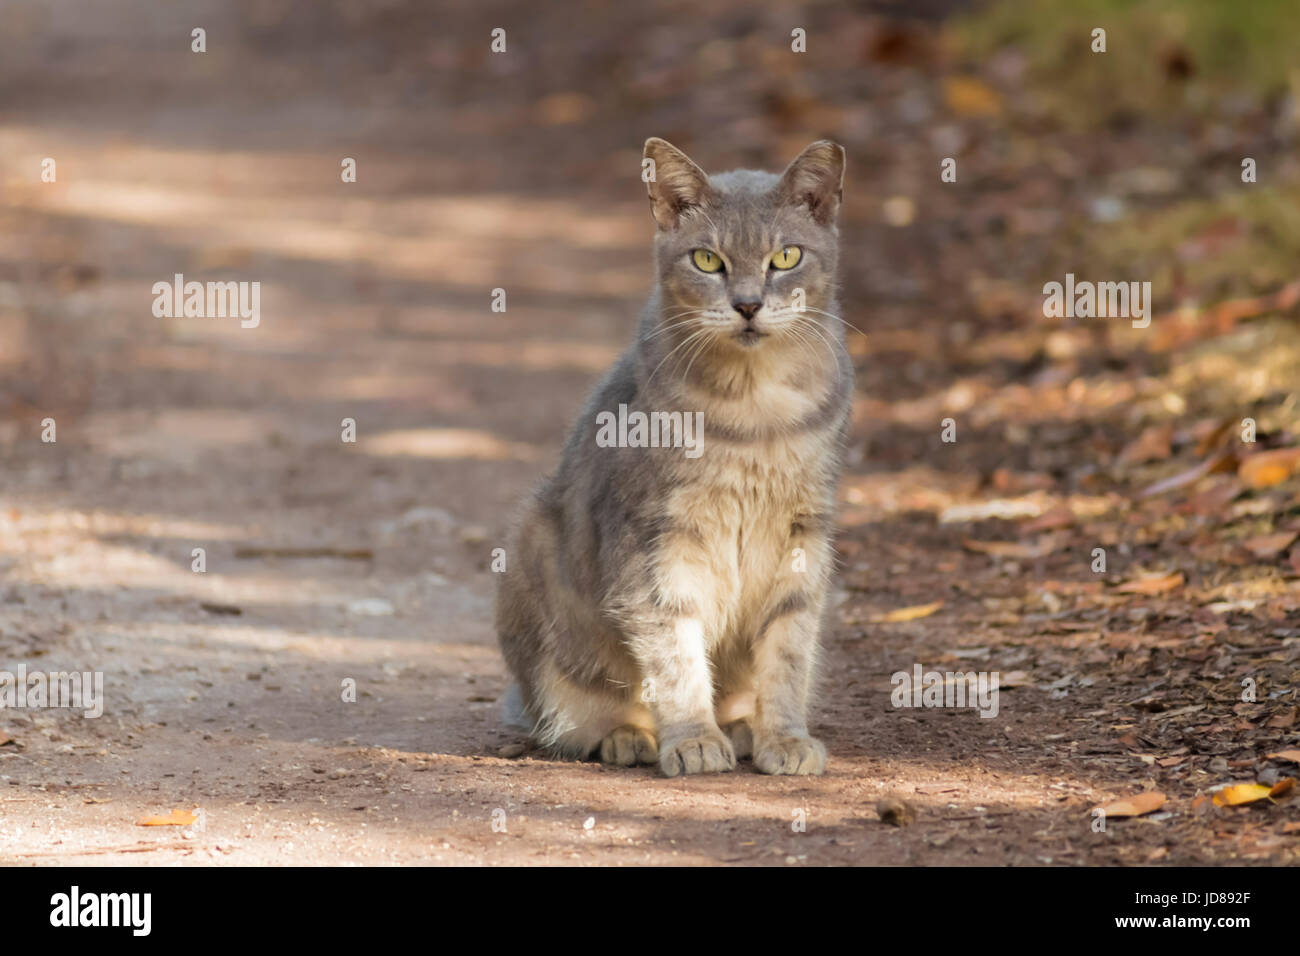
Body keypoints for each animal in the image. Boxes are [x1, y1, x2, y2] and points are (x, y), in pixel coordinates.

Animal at [496, 136, 852, 780]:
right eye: (707, 260)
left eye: (786, 257)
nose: (747, 305)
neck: (755, 409)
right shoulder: (657, 541)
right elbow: (675, 651)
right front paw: (692, 739)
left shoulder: (803, 535)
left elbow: (788, 651)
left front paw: (783, 737)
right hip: (532, 550)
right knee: (577, 717)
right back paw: (629, 737)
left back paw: (742, 727)